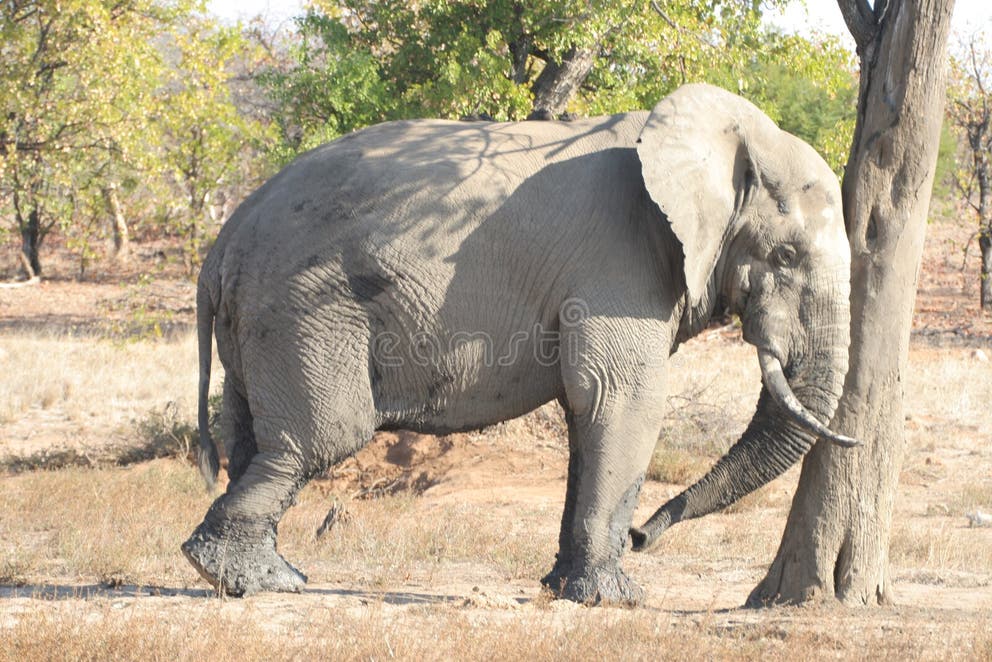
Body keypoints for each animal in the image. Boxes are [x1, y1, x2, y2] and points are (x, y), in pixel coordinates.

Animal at [182, 83, 859, 605]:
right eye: (786, 255)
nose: (643, 536)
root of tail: (221, 245)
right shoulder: (620, 263)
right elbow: (622, 399)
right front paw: (616, 600)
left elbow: (588, 411)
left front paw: (563, 588)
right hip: (306, 308)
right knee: (325, 436)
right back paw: (260, 581)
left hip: (258, 315)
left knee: (250, 433)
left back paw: (246, 574)